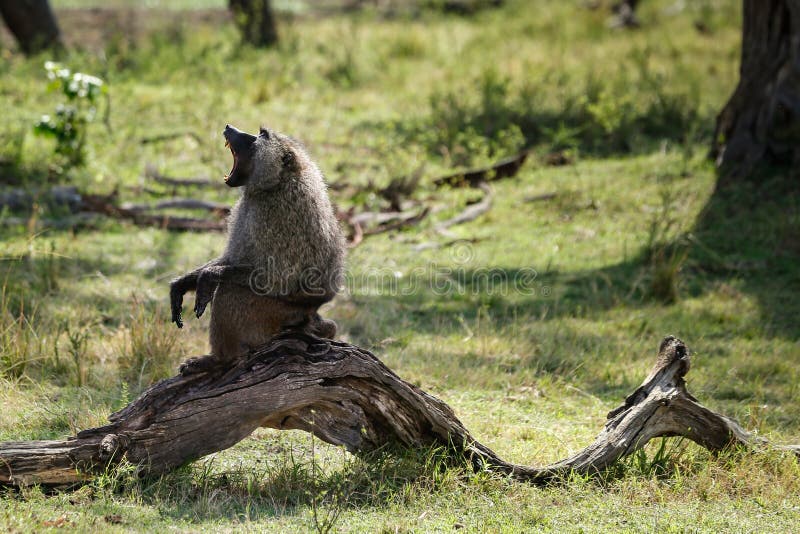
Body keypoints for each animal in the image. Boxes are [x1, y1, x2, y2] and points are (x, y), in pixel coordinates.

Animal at [169, 124, 346, 375]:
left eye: (261, 135)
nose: (229, 127)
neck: (276, 183)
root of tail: (308, 314)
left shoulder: (276, 213)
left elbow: (277, 276)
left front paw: (208, 276)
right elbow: (232, 257)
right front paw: (181, 285)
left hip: (277, 313)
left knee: (229, 290)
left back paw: (219, 360)